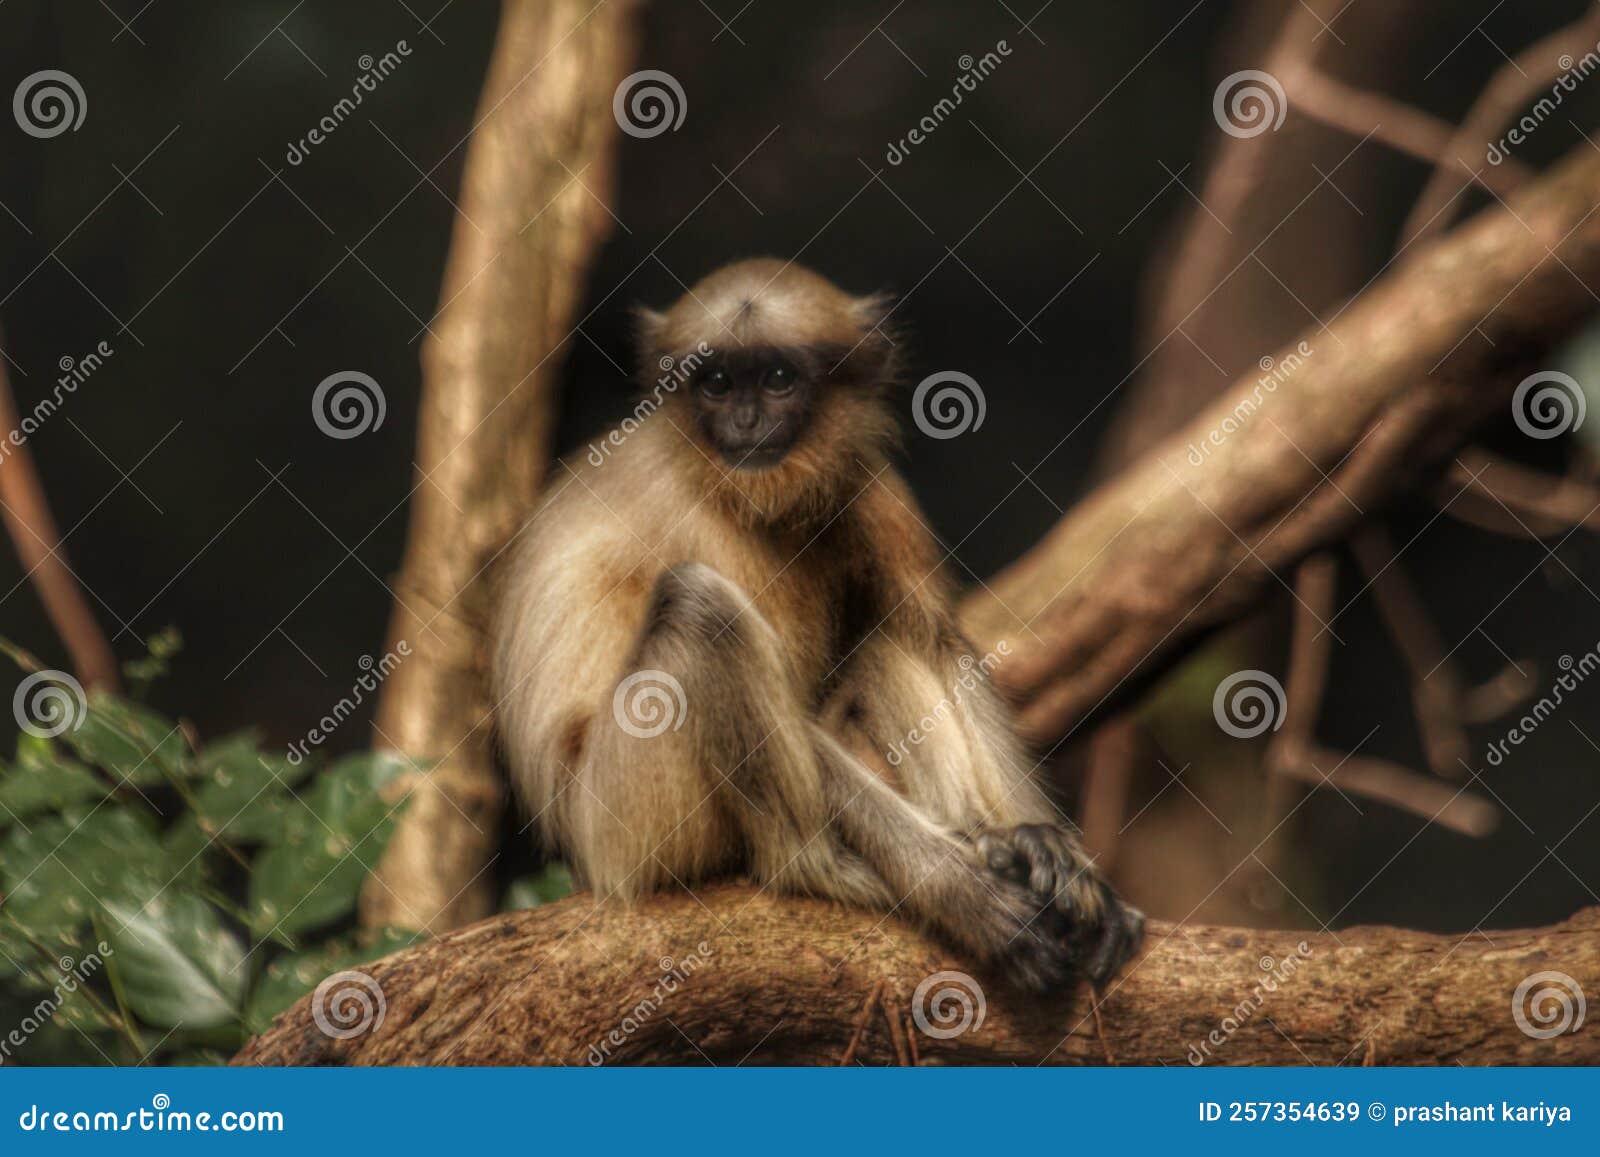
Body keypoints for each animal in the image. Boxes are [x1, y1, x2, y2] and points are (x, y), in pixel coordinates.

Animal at [492, 257, 1144, 991]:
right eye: (717, 383)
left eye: (777, 378)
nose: (745, 420)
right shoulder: (690, 512)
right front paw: (961, 893)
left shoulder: (868, 480)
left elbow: (938, 643)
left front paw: (1055, 857)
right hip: (626, 824)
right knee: (700, 608)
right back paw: (814, 868)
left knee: (885, 641)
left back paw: (990, 837)